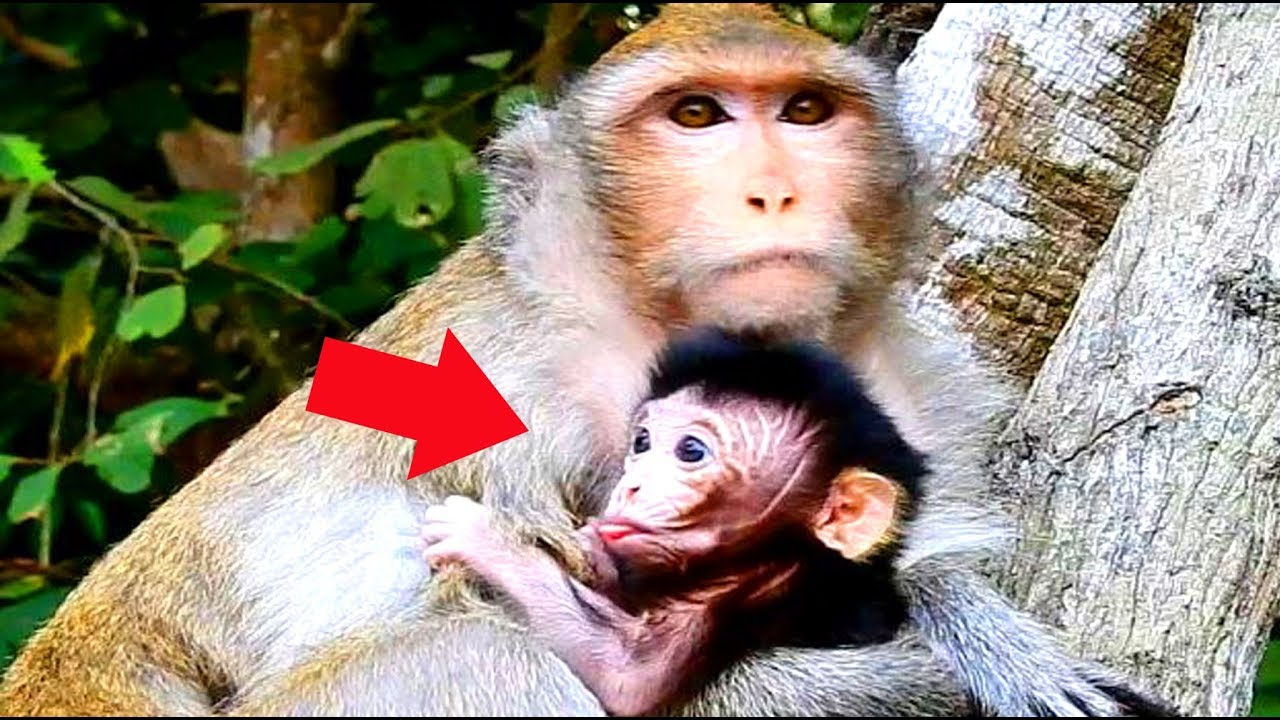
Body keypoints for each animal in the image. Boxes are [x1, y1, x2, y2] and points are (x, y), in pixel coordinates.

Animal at [420, 327, 928, 716]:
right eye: (642, 441)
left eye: (691, 451)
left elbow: (628, 678)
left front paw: (479, 536)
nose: (630, 486)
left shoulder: (752, 600)